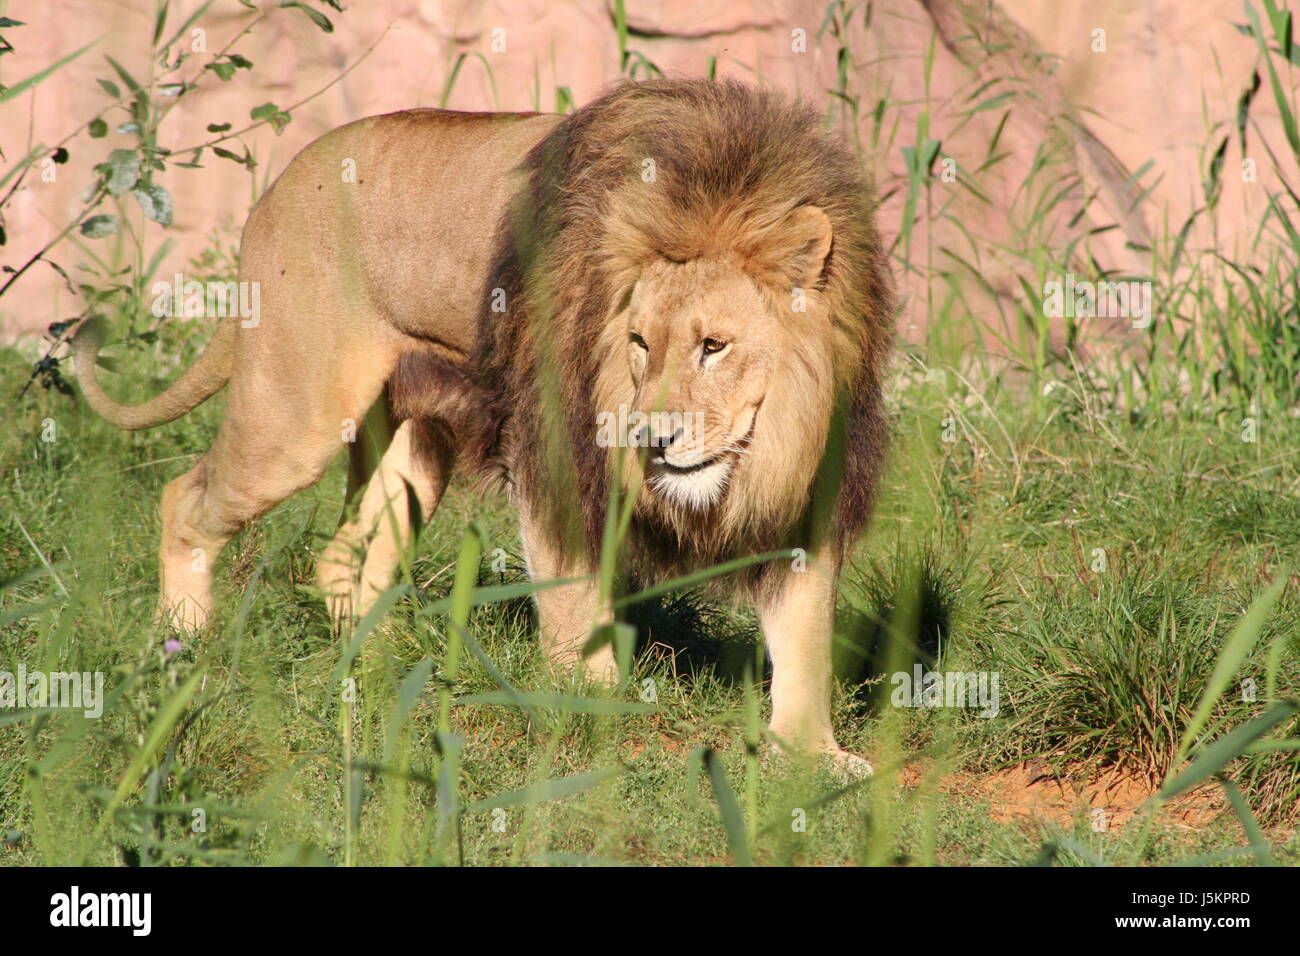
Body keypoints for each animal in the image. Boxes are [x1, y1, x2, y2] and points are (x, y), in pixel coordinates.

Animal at [72, 79, 894, 774]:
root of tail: (274, 190)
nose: (650, 440)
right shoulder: (557, 458)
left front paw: (816, 758)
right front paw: (598, 719)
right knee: (184, 498)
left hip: (414, 442)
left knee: (344, 555)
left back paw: (386, 662)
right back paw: (183, 645)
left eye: (713, 346)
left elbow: (805, 636)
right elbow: (574, 609)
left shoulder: (812, 486)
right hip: (292, 416)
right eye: (639, 343)